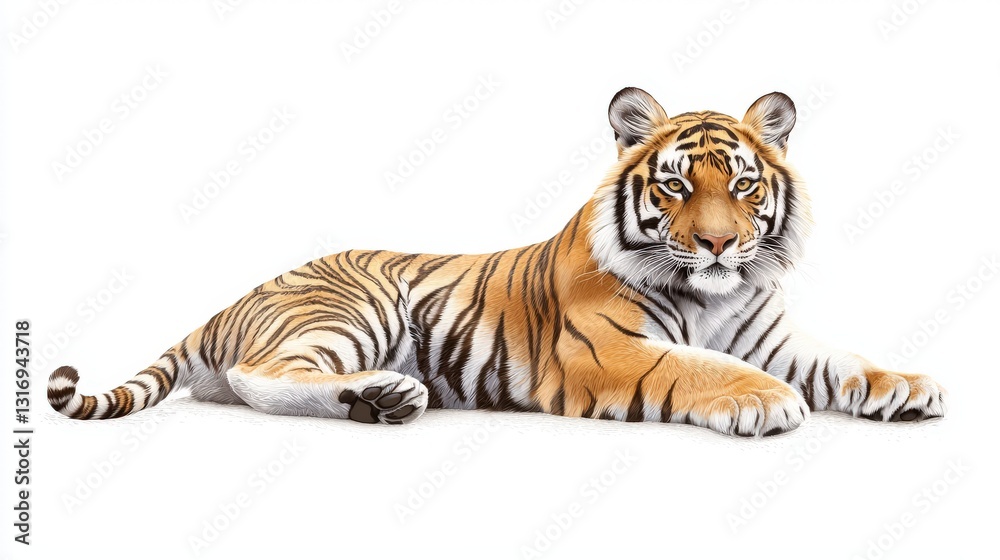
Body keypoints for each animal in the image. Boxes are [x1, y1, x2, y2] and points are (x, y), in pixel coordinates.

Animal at [47, 87, 947, 436]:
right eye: (677, 185)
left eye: (745, 185)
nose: (721, 243)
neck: (715, 295)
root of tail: (231, 300)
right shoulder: (606, 351)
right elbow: (697, 367)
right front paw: (765, 401)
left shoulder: (772, 337)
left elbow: (843, 361)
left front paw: (909, 386)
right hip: (349, 306)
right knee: (253, 375)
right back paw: (386, 395)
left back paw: (381, 400)